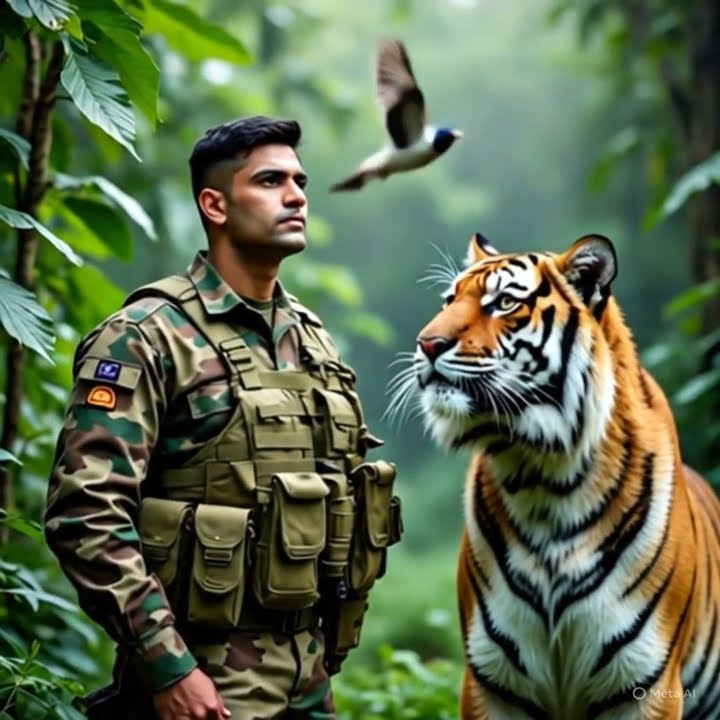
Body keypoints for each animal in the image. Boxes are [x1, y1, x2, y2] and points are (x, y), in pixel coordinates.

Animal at [403, 232, 720, 719]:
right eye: (449, 300)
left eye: (504, 302)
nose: (427, 343)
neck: (544, 478)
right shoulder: (491, 682)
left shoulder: (646, 684)